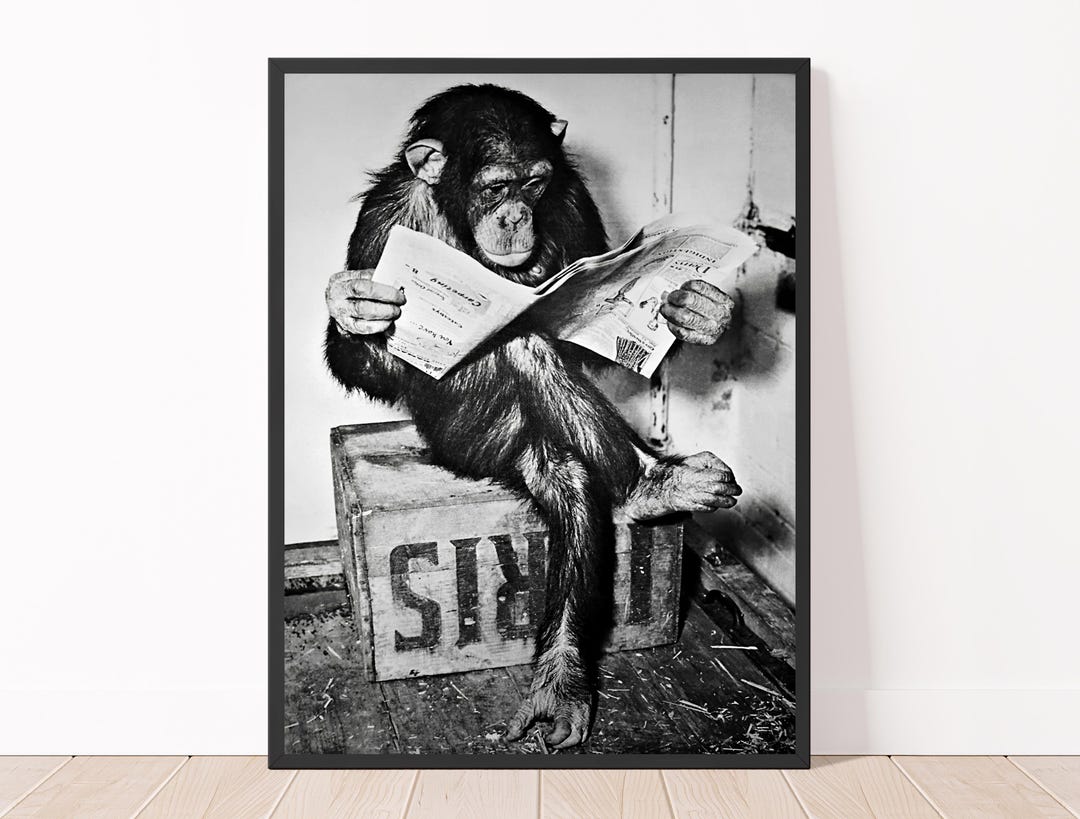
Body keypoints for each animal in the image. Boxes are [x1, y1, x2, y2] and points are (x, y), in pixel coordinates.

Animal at [324, 84, 741, 749]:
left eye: (535, 183)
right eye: (496, 187)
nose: (517, 215)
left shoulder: (572, 198)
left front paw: (700, 311)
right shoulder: (384, 219)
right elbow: (371, 362)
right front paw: (354, 305)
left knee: (567, 467)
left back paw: (652, 488)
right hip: (471, 442)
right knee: (519, 350)